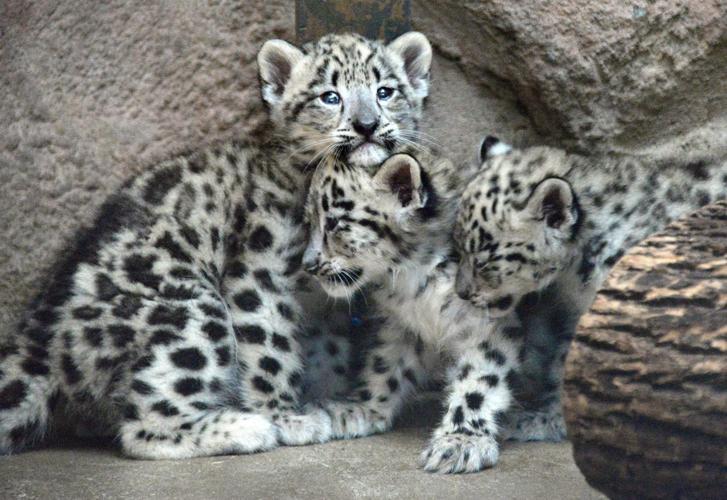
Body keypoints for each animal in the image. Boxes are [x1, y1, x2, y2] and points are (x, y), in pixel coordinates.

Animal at [0, 31, 433, 459]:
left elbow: (328, 352)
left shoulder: (327, 300)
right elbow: (271, 347)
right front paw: (287, 417)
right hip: (190, 309)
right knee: (144, 426)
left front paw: (336, 402)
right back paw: (244, 427)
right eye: (329, 96)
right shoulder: (261, 270)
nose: (367, 125)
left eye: (385, 90)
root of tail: (39, 335)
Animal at [301, 149, 530, 474]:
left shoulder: (491, 328)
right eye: (309, 220)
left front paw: (460, 442)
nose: (307, 264)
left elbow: (479, 382)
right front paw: (362, 408)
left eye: (334, 222)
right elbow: (387, 365)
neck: (416, 285)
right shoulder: (405, 326)